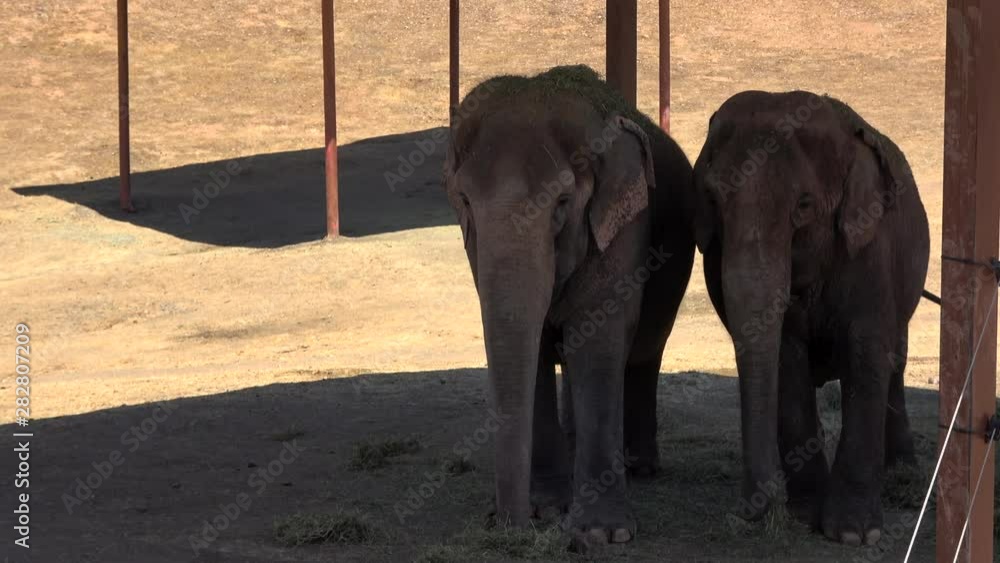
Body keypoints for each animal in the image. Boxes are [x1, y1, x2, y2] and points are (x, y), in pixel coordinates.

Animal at [443, 65, 695, 543]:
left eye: (562, 203)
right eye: (463, 201)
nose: (505, 526)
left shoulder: (623, 230)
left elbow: (597, 342)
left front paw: (602, 535)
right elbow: (537, 345)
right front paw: (546, 508)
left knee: (644, 356)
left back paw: (641, 467)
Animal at [691, 90, 930, 546]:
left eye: (803, 206)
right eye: (711, 198)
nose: (755, 510)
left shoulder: (871, 249)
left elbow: (866, 354)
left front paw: (854, 534)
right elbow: (787, 360)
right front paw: (804, 515)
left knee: (895, 360)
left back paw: (904, 474)